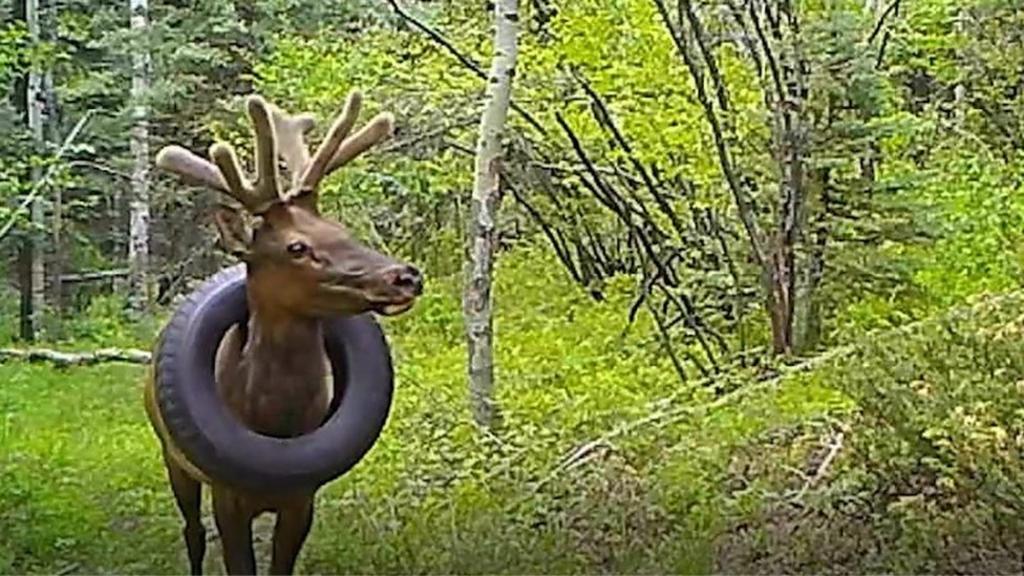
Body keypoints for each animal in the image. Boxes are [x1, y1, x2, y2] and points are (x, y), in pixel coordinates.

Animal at [143, 90, 423, 575]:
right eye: (296, 247)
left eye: (339, 229)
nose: (405, 276)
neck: (275, 424)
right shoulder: (227, 498)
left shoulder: (301, 499)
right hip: (172, 457)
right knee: (192, 533)